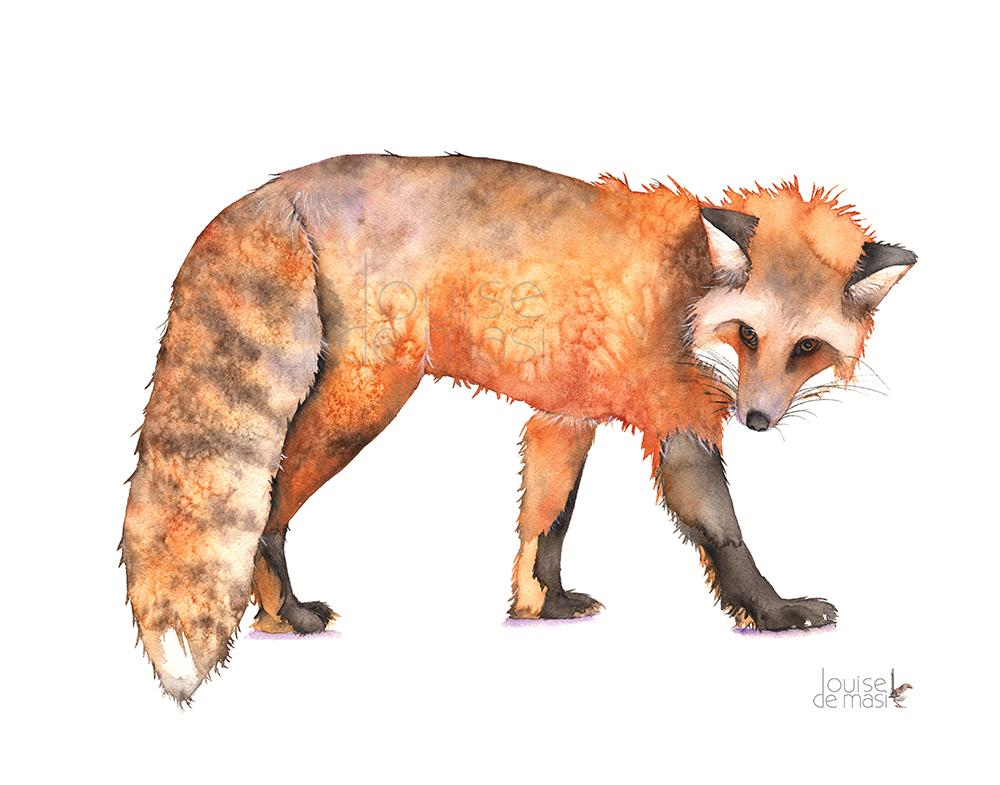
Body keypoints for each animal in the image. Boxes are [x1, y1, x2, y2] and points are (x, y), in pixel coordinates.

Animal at [121, 154, 916, 703]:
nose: (756, 419)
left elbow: (547, 522)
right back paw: (285, 612)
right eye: (748, 335)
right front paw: (774, 611)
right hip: (366, 401)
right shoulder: (676, 417)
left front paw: (542, 605)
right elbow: (725, 534)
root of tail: (279, 185)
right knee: (270, 504)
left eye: (806, 348)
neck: (685, 287)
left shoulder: (566, 415)